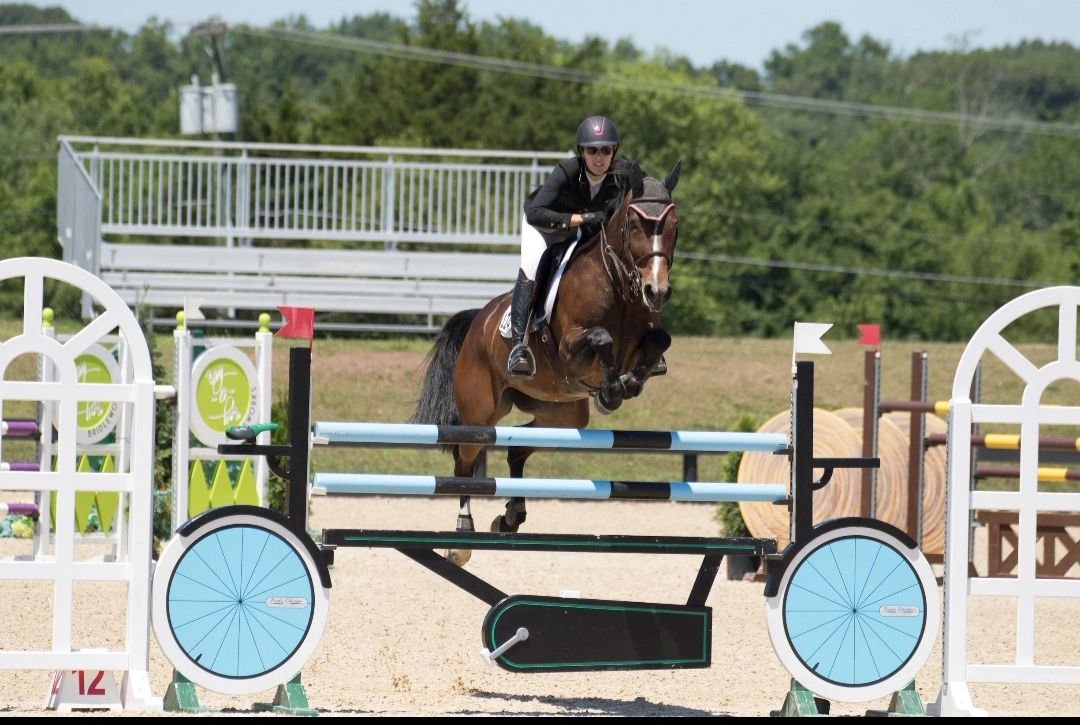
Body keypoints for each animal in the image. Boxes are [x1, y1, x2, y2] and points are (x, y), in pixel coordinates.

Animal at [411, 162, 681, 565]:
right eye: (635, 224)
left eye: (675, 225)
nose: (657, 291)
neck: (618, 283)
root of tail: (477, 321)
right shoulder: (571, 350)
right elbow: (601, 339)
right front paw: (611, 390)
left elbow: (658, 342)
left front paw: (631, 381)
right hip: (481, 411)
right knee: (465, 461)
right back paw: (461, 537)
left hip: (562, 412)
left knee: (517, 447)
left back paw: (510, 517)